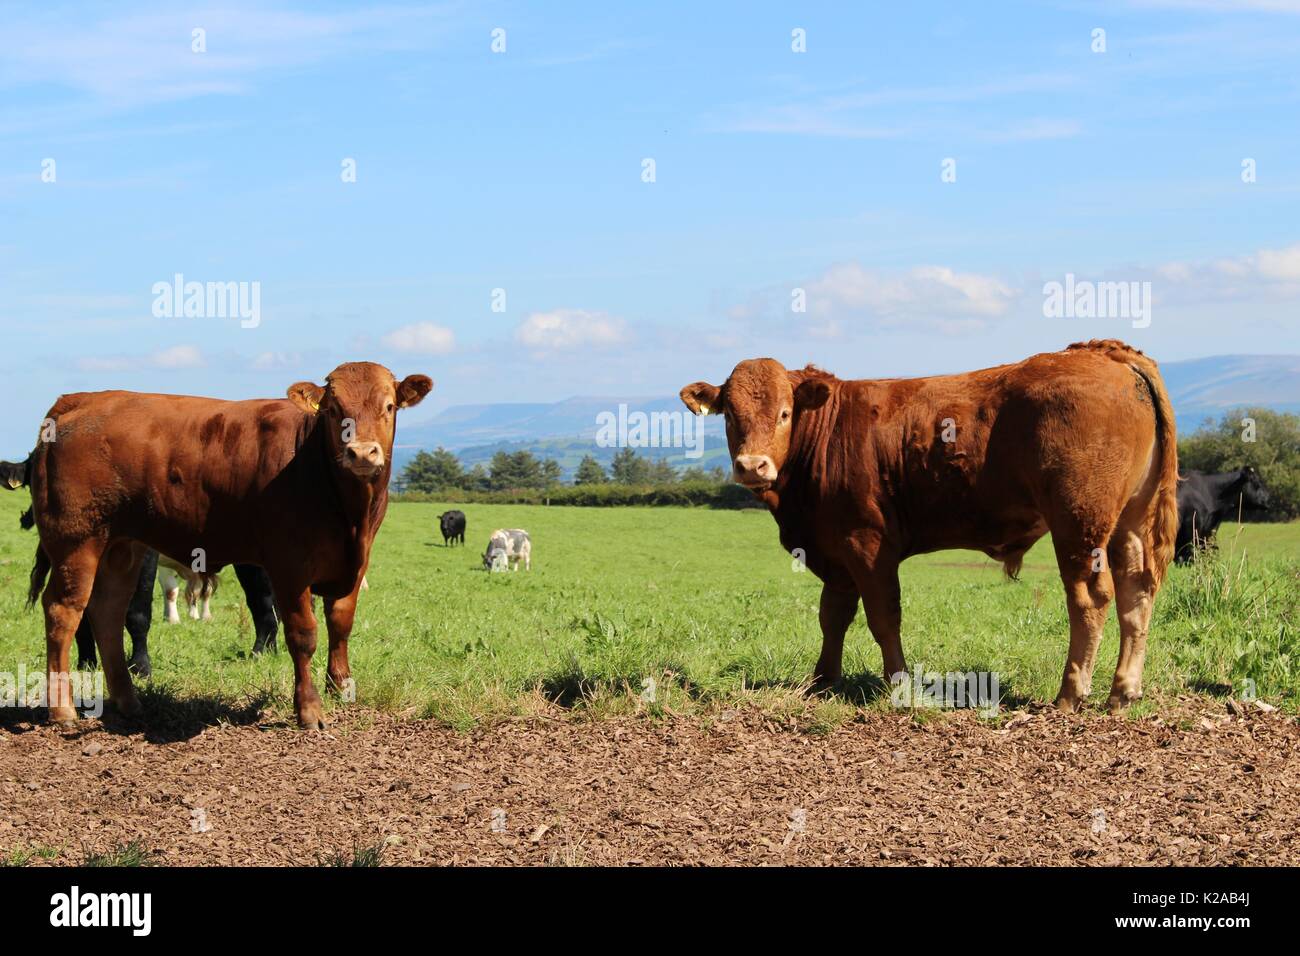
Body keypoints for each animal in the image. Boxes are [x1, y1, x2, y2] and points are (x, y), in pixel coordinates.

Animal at [19, 361, 431, 727]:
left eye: (389, 406)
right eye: (333, 409)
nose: (361, 453)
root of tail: (78, 400)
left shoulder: (354, 564)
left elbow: (341, 622)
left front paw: (341, 686)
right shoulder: (289, 565)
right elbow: (303, 634)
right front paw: (309, 709)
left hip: (122, 547)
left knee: (108, 611)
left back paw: (128, 701)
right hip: (76, 542)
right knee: (63, 610)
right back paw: (63, 709)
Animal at [680, 339, 1178, 714]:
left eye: (785, 413)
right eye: (729, 415)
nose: (752, 465)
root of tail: (1103, 352)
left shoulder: (867, 543)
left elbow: (883, 618)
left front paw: (899, 685)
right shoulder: (835, 552)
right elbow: (832, 617)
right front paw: (821, 683)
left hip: (1079, 522)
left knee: (1090, 597)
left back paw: (1070, 695)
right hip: (1130, 521)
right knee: (1136, 592)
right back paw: (1122, 692)